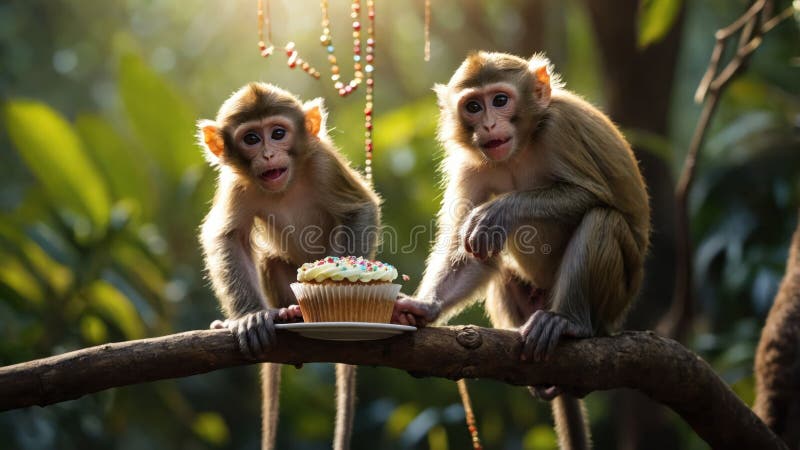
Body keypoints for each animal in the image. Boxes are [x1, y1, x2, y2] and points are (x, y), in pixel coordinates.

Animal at [198, 82, 380, 450]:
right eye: (251, 138)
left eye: (278, 133)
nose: (268, 154)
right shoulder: (237, 184)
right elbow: (226, 237)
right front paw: (250, 317)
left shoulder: (324, 163)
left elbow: (360, 208)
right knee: (270, 259)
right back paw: (287, 312)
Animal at [392, 52, 650, 450]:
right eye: (473, 106)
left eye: (500, 100)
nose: (488, 124)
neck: (521, 148)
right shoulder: (471, 165)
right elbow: (469, 252)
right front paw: (424, 308)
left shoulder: (561, 129)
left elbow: (593, 195)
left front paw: (501, 210)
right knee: (500, 270)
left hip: (613, 302)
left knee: (602, 219)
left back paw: (568, 322)